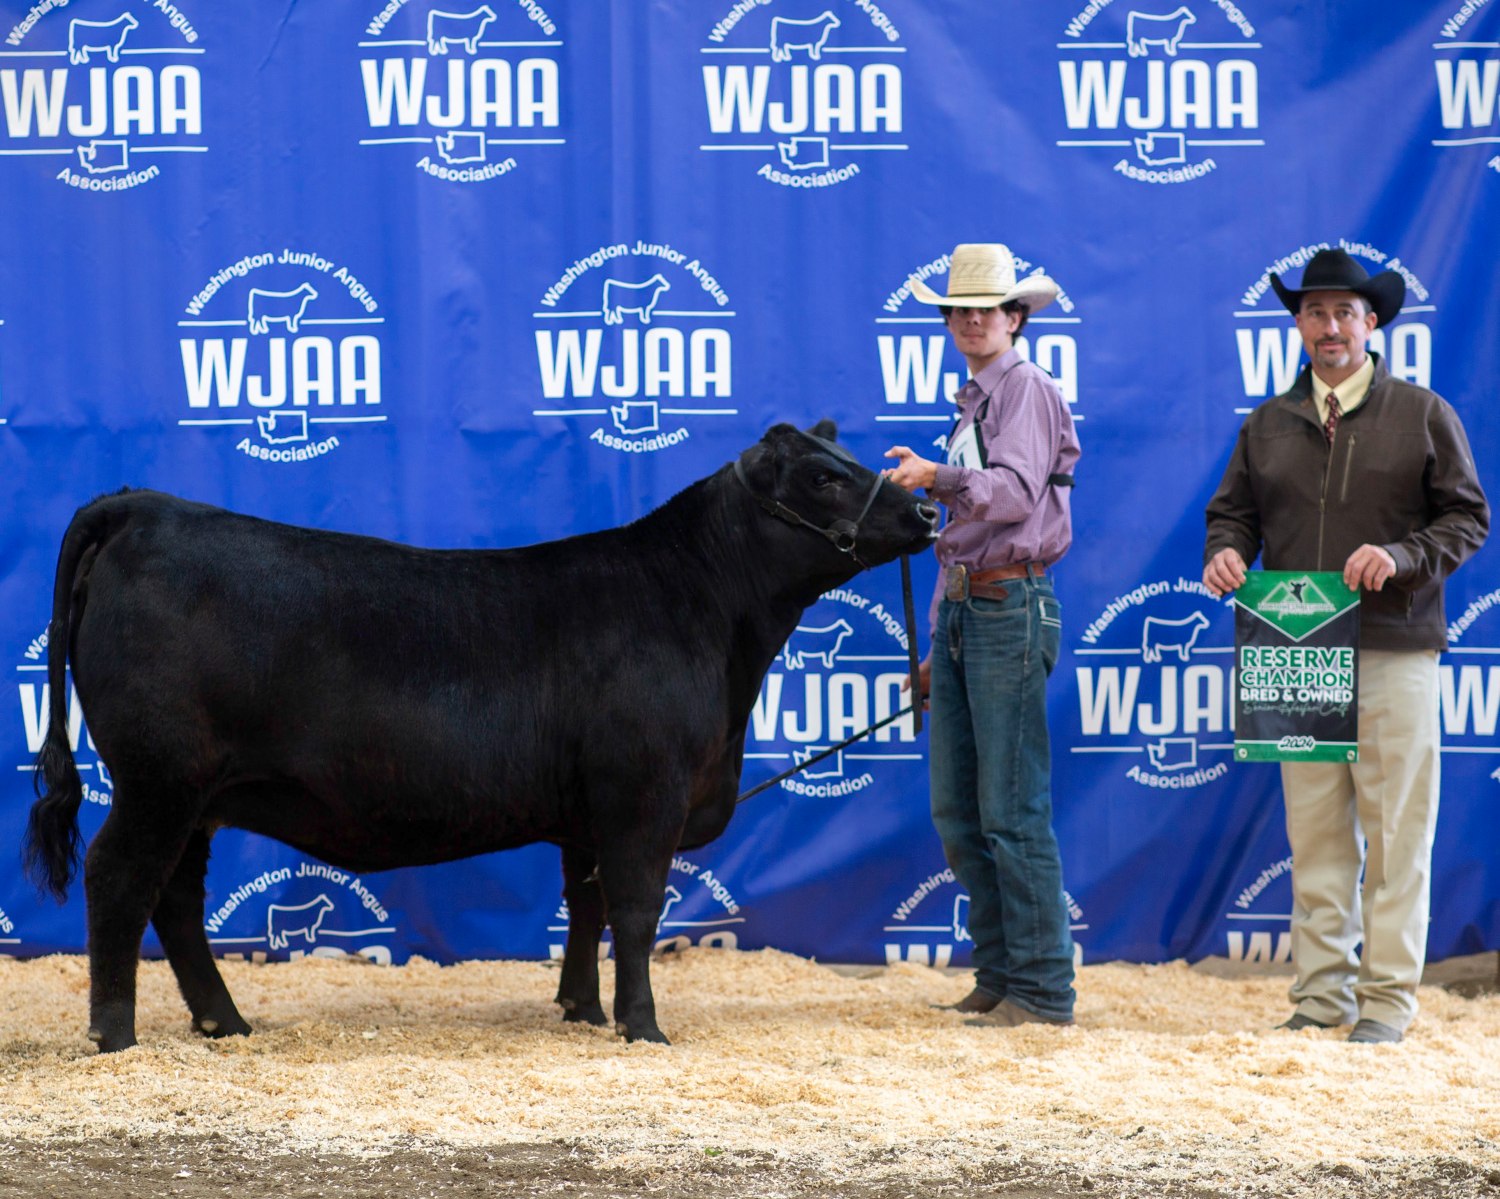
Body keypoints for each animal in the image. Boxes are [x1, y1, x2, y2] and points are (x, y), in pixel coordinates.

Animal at [25, 422, 938, 1052]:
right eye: (825, 476)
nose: (928, 506)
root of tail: (143, 507)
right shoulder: (645, 791)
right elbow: (637, 906)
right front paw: (641, 1026)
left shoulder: (588, 810)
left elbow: (586, 903)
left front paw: (581, 1008)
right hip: (159, 778)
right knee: (120, 878)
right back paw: (115, 1034)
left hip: (199, 793)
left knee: (176, 896)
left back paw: (225, 1022)